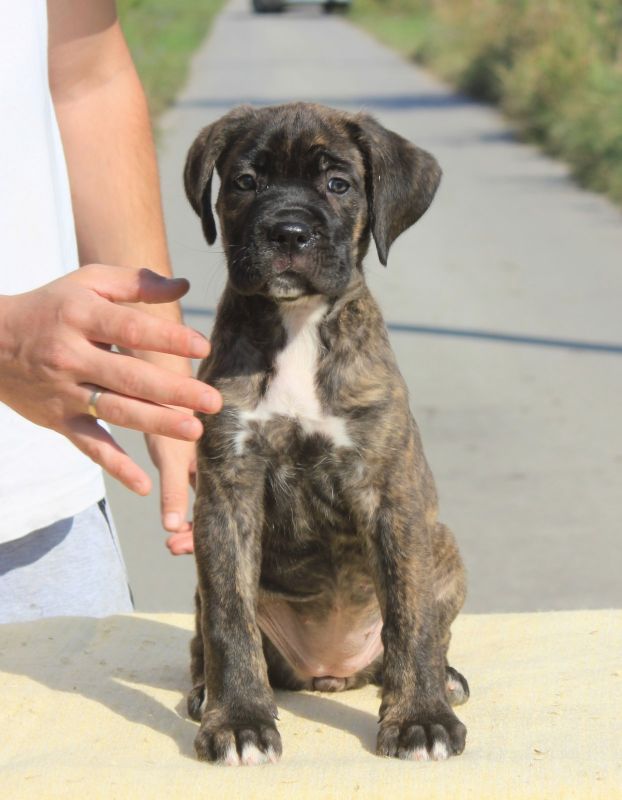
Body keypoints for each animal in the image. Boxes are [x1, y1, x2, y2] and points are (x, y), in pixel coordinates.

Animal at [183, 103, 470, 764]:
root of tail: (331, 673)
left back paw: (441, 679)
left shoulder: (392, 497)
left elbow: (412, 617)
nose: (288, 233)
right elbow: (229, 619)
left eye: (338, 184)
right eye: (246, 182)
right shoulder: (226, 496)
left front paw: (420, 718)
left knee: (423, 632)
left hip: (444, 547)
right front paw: (238, 720)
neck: (299, 324)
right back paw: (205, 691)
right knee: (208, 634)